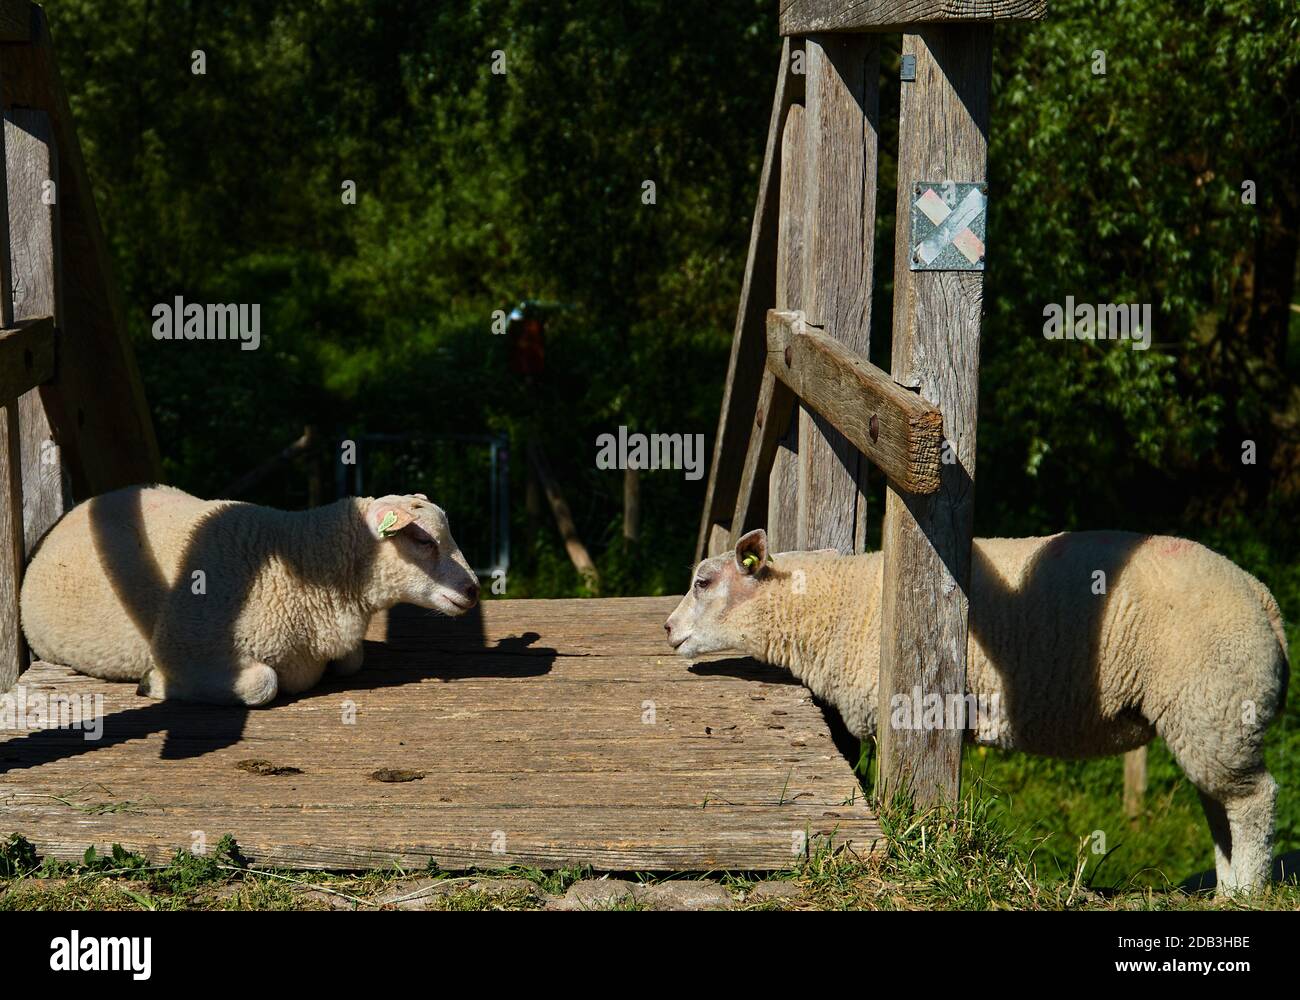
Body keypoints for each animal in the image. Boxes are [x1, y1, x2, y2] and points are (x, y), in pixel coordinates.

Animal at [20, 484, 480, 706]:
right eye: (421, 540)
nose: (473, 589)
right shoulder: (187, 649)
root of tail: (77, 510)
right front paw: (153, 684)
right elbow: (264, 684)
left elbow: (352, 661)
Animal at [664, 528, 1289, 894]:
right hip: (1210, 717)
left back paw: (1251, 892)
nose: (667, 629)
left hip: (1213, 697)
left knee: (1254, 800)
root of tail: (1266, 603)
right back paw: (1226, 891)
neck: (835, 606)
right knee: (1219, 803)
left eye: (703, 581)